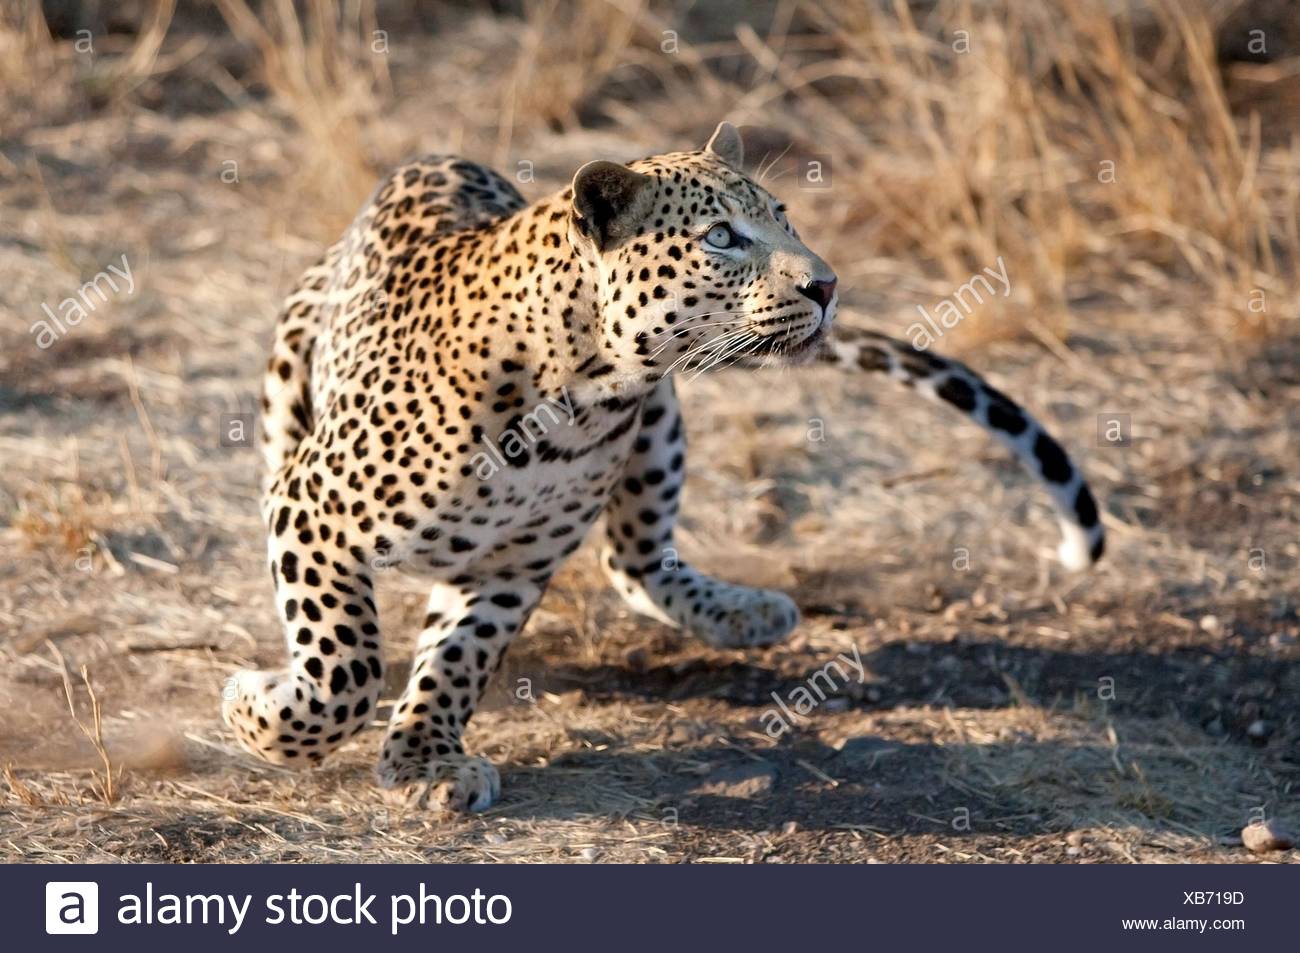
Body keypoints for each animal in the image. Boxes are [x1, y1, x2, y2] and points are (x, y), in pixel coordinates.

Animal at [222, 122, 1105, 812]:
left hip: (662, 431)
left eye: (784, 218)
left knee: (636, 559)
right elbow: (343, 665)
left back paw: (743, 611)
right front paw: (257, 708)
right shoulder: (310, 509)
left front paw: (424, 758)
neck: (578, 393)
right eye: (720, 237)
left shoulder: (514, 563)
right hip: (287, 388)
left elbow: (455, 659)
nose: (827, 285)